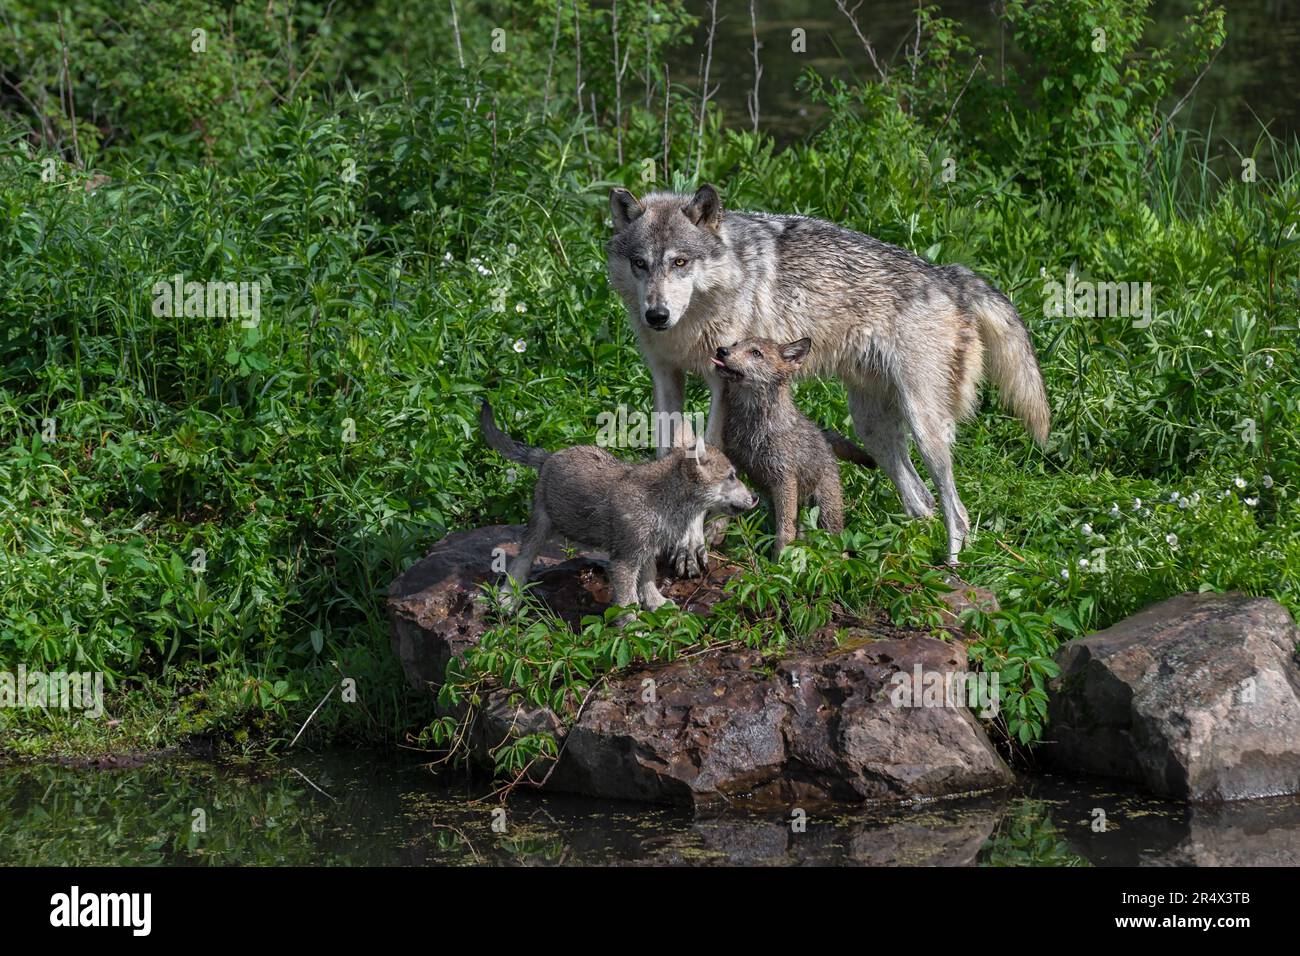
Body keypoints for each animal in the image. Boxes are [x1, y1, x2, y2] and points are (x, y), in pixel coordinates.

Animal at [479, 401, 756, 617]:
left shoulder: (646, 550)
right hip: (541, 523)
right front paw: (633, 631)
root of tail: (548, 456)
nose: (754, 497)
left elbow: (648, 577)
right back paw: (508, 597)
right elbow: (627, 601)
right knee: (521, 559)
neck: (666, 501)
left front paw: (656, 602)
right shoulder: (624, 560)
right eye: (732, 476)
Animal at [712, 335, 874, 558]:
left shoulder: (784, 480)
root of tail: (823, 433)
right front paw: (715, 535)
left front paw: (779, 563)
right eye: (735, 344)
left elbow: (784, 532)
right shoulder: (736, 464)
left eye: (756, 353)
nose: (722, 350)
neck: (753, 427)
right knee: (804, 535)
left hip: (826, 512)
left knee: (838, 546)